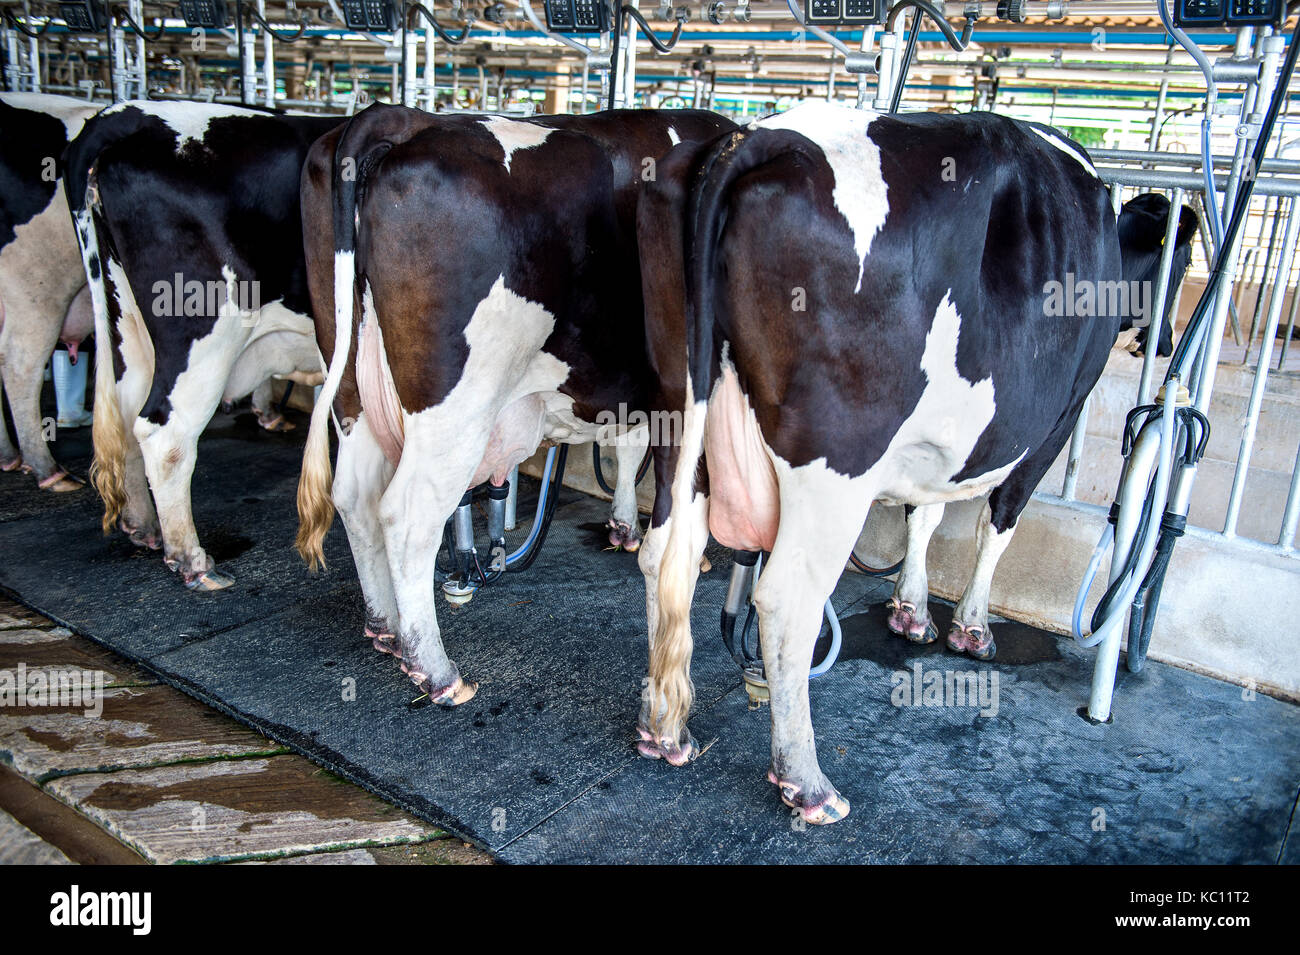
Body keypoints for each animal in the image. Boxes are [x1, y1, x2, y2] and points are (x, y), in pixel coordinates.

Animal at [63, 102, 340, 589]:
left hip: (126, 321)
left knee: (128, 411)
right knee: (165, 434)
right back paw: (191, 559)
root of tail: (130, 112)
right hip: (202, 331)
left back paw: (144, 526)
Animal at [295, 104, 736, 704]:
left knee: (355, 497)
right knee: (406, 517)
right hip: (454, 409)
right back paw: (436, 670)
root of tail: (406, 118)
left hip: (350, 387)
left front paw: (623, 524)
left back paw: (385, 628)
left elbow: (629, 443)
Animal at [635, 102, 1125, 824]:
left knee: (664, 555)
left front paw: (912, 610)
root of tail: (754, 137)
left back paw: (665, 729)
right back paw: (807, 783)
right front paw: (971, 627)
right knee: (786, 599)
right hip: (837, 459)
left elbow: (926, 512)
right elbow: (996, 525)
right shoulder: (1056, 423)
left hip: (677, 415)